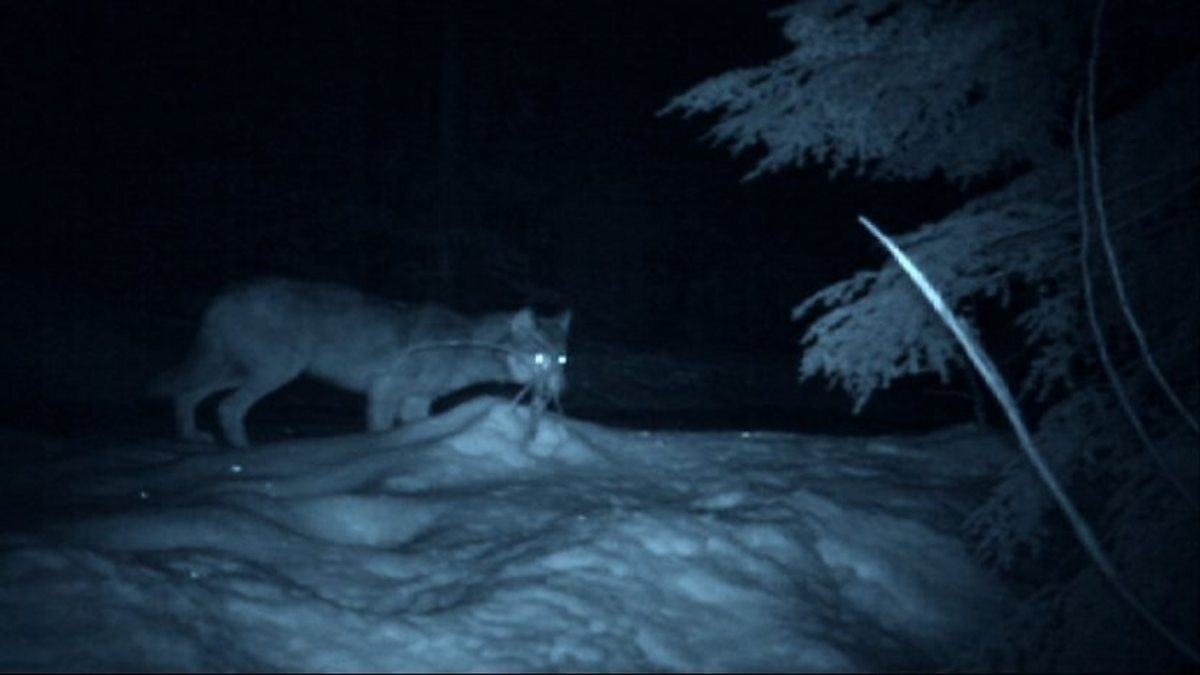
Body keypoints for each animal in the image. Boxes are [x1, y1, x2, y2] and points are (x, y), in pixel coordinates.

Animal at [147, 277, 571, 448]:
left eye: (562, 359)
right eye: (539, 358)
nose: (560, 388)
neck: (464, 347)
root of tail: (226, 292)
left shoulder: (417, 402)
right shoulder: (385, 390)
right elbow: (379, 432)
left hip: (238, 369)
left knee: (187, 395)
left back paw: (190, 438)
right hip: (275, 372)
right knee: (228, 407)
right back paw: (243, 453)